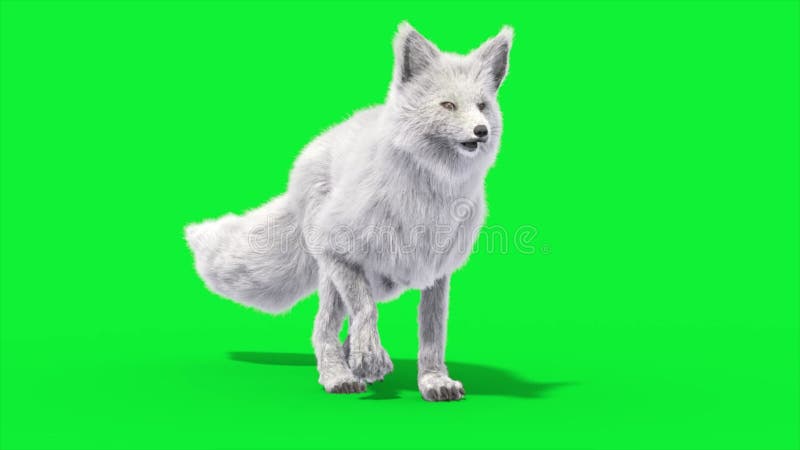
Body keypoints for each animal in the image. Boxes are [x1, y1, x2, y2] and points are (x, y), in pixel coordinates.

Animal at [185, 22, 512, 401]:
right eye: (448, 105)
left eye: (482, 106)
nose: (481, 131)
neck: (428, 200)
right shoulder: (337, 249)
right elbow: (364, 311)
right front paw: (369, 358)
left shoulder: (436, 273)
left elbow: (432, 336)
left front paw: (433, 381)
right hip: (335, 271)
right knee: (324, 328)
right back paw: (339, 375)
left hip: (387, 280)